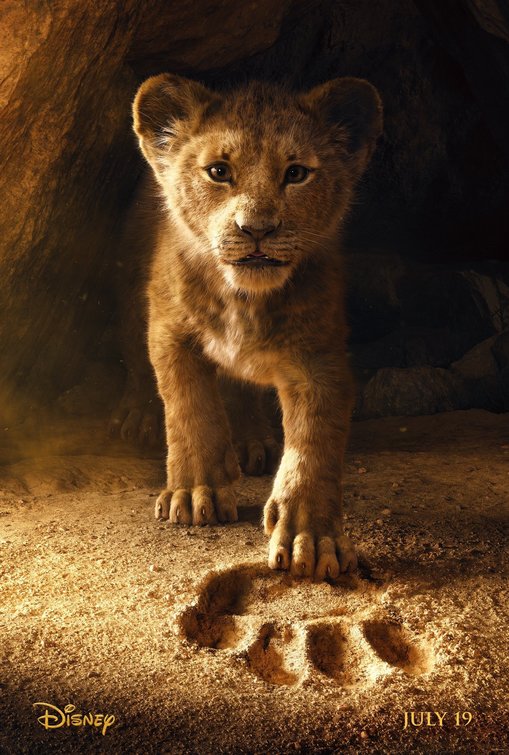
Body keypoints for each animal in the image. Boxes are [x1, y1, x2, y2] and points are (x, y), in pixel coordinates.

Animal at [123, 73, 382, 580]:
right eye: (219, 171)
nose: (256, 229)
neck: (244, 299)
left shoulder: (318, 357)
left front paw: (311, 536)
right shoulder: (169, 331)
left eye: (296, 173)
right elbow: (189, 408)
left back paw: (250, 441)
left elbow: (314, 442)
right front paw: (195, 492)